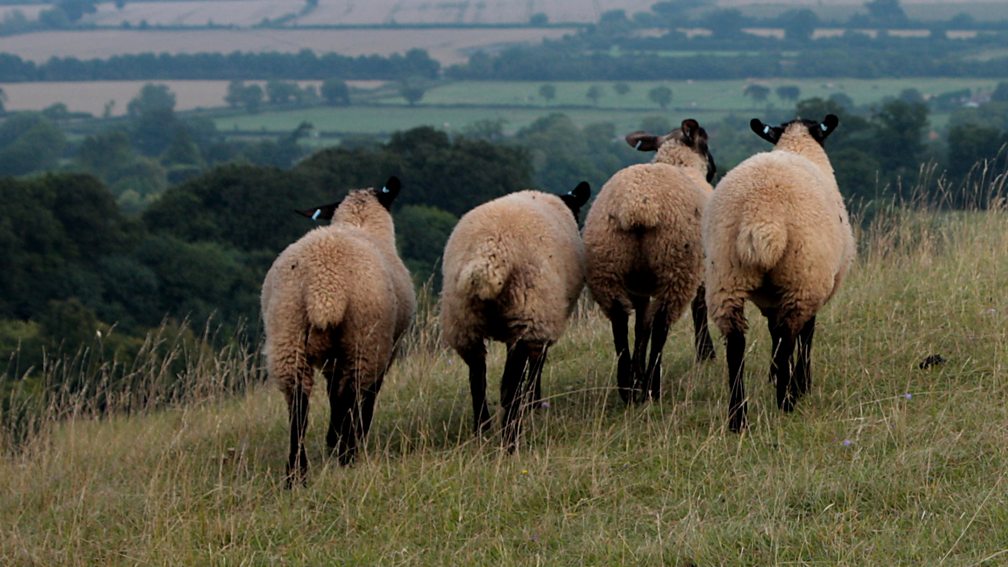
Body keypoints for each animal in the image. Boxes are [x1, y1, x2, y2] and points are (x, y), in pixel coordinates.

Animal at [261, 176, 416, 485]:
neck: (360, 222)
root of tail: (325, 287)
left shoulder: (332, 360)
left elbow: (332, 394)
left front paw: (332, 440)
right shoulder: (386, 352)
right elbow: (363, 398)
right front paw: (345, 441)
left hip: (288, 334)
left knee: (299, 406)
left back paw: (296, 474)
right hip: (364, 340)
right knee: (352, 395)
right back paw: (348, 454)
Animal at [440, 182, 591, 449]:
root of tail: (489, 258)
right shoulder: (542, 324)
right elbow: (538, 364)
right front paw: (534, 403)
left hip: (463, 322)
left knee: (477, 381)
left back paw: (482, 429)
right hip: (527, 313)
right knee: (508, 386)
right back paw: (511, 438)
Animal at [582, 118, 717, 404]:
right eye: (705, 141)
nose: (713, 169)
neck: (681, 163)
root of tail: (639, 206)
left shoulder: (640, 288)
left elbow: (641, 326)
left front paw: (638, 371)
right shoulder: (702, 270)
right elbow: (699, 309)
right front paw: (706, 354)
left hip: (607, 268)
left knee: (620, 323)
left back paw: (628, 387)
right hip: (677, 265)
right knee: (662, 324)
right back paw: (652, 387)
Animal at [702, 114, 855, 432]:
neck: (798, 145)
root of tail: (762, 215)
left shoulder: (772, 297)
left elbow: (773, 332)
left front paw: (773, 375)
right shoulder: (812, 285)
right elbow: (804, 335)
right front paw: (801, 383)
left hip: (725, 277)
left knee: (736, 345)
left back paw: (738, 418)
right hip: (802, 276)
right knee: (789, 337)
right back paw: (787, 401)